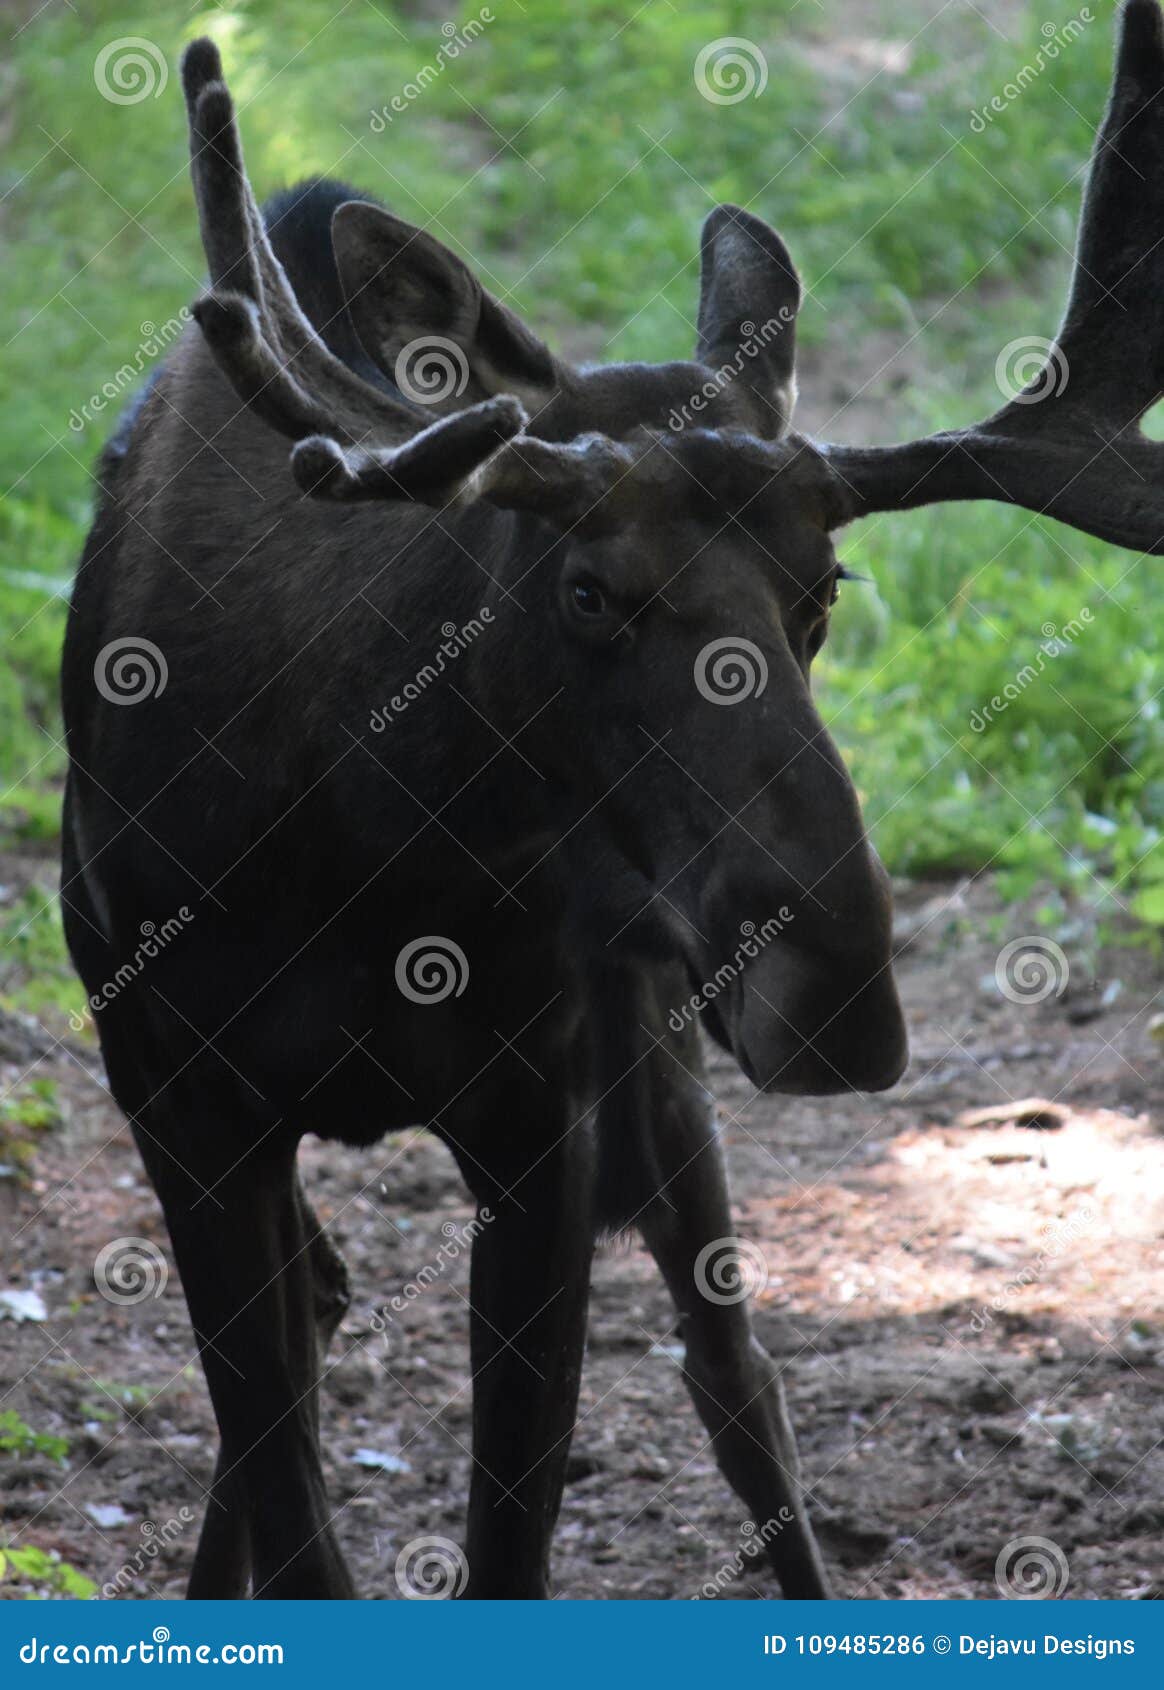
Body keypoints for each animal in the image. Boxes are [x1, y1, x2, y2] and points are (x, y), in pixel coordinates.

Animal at [60, 0, 1164, 1600]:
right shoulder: (175, 1091)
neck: (351, 848)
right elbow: (292, 1494)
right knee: (315, 1320)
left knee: (739, 1385)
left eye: (823, 591)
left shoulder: (547, 1107)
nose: (838, 980)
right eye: (588, 591)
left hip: (657, 1053)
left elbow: (513, 1535)